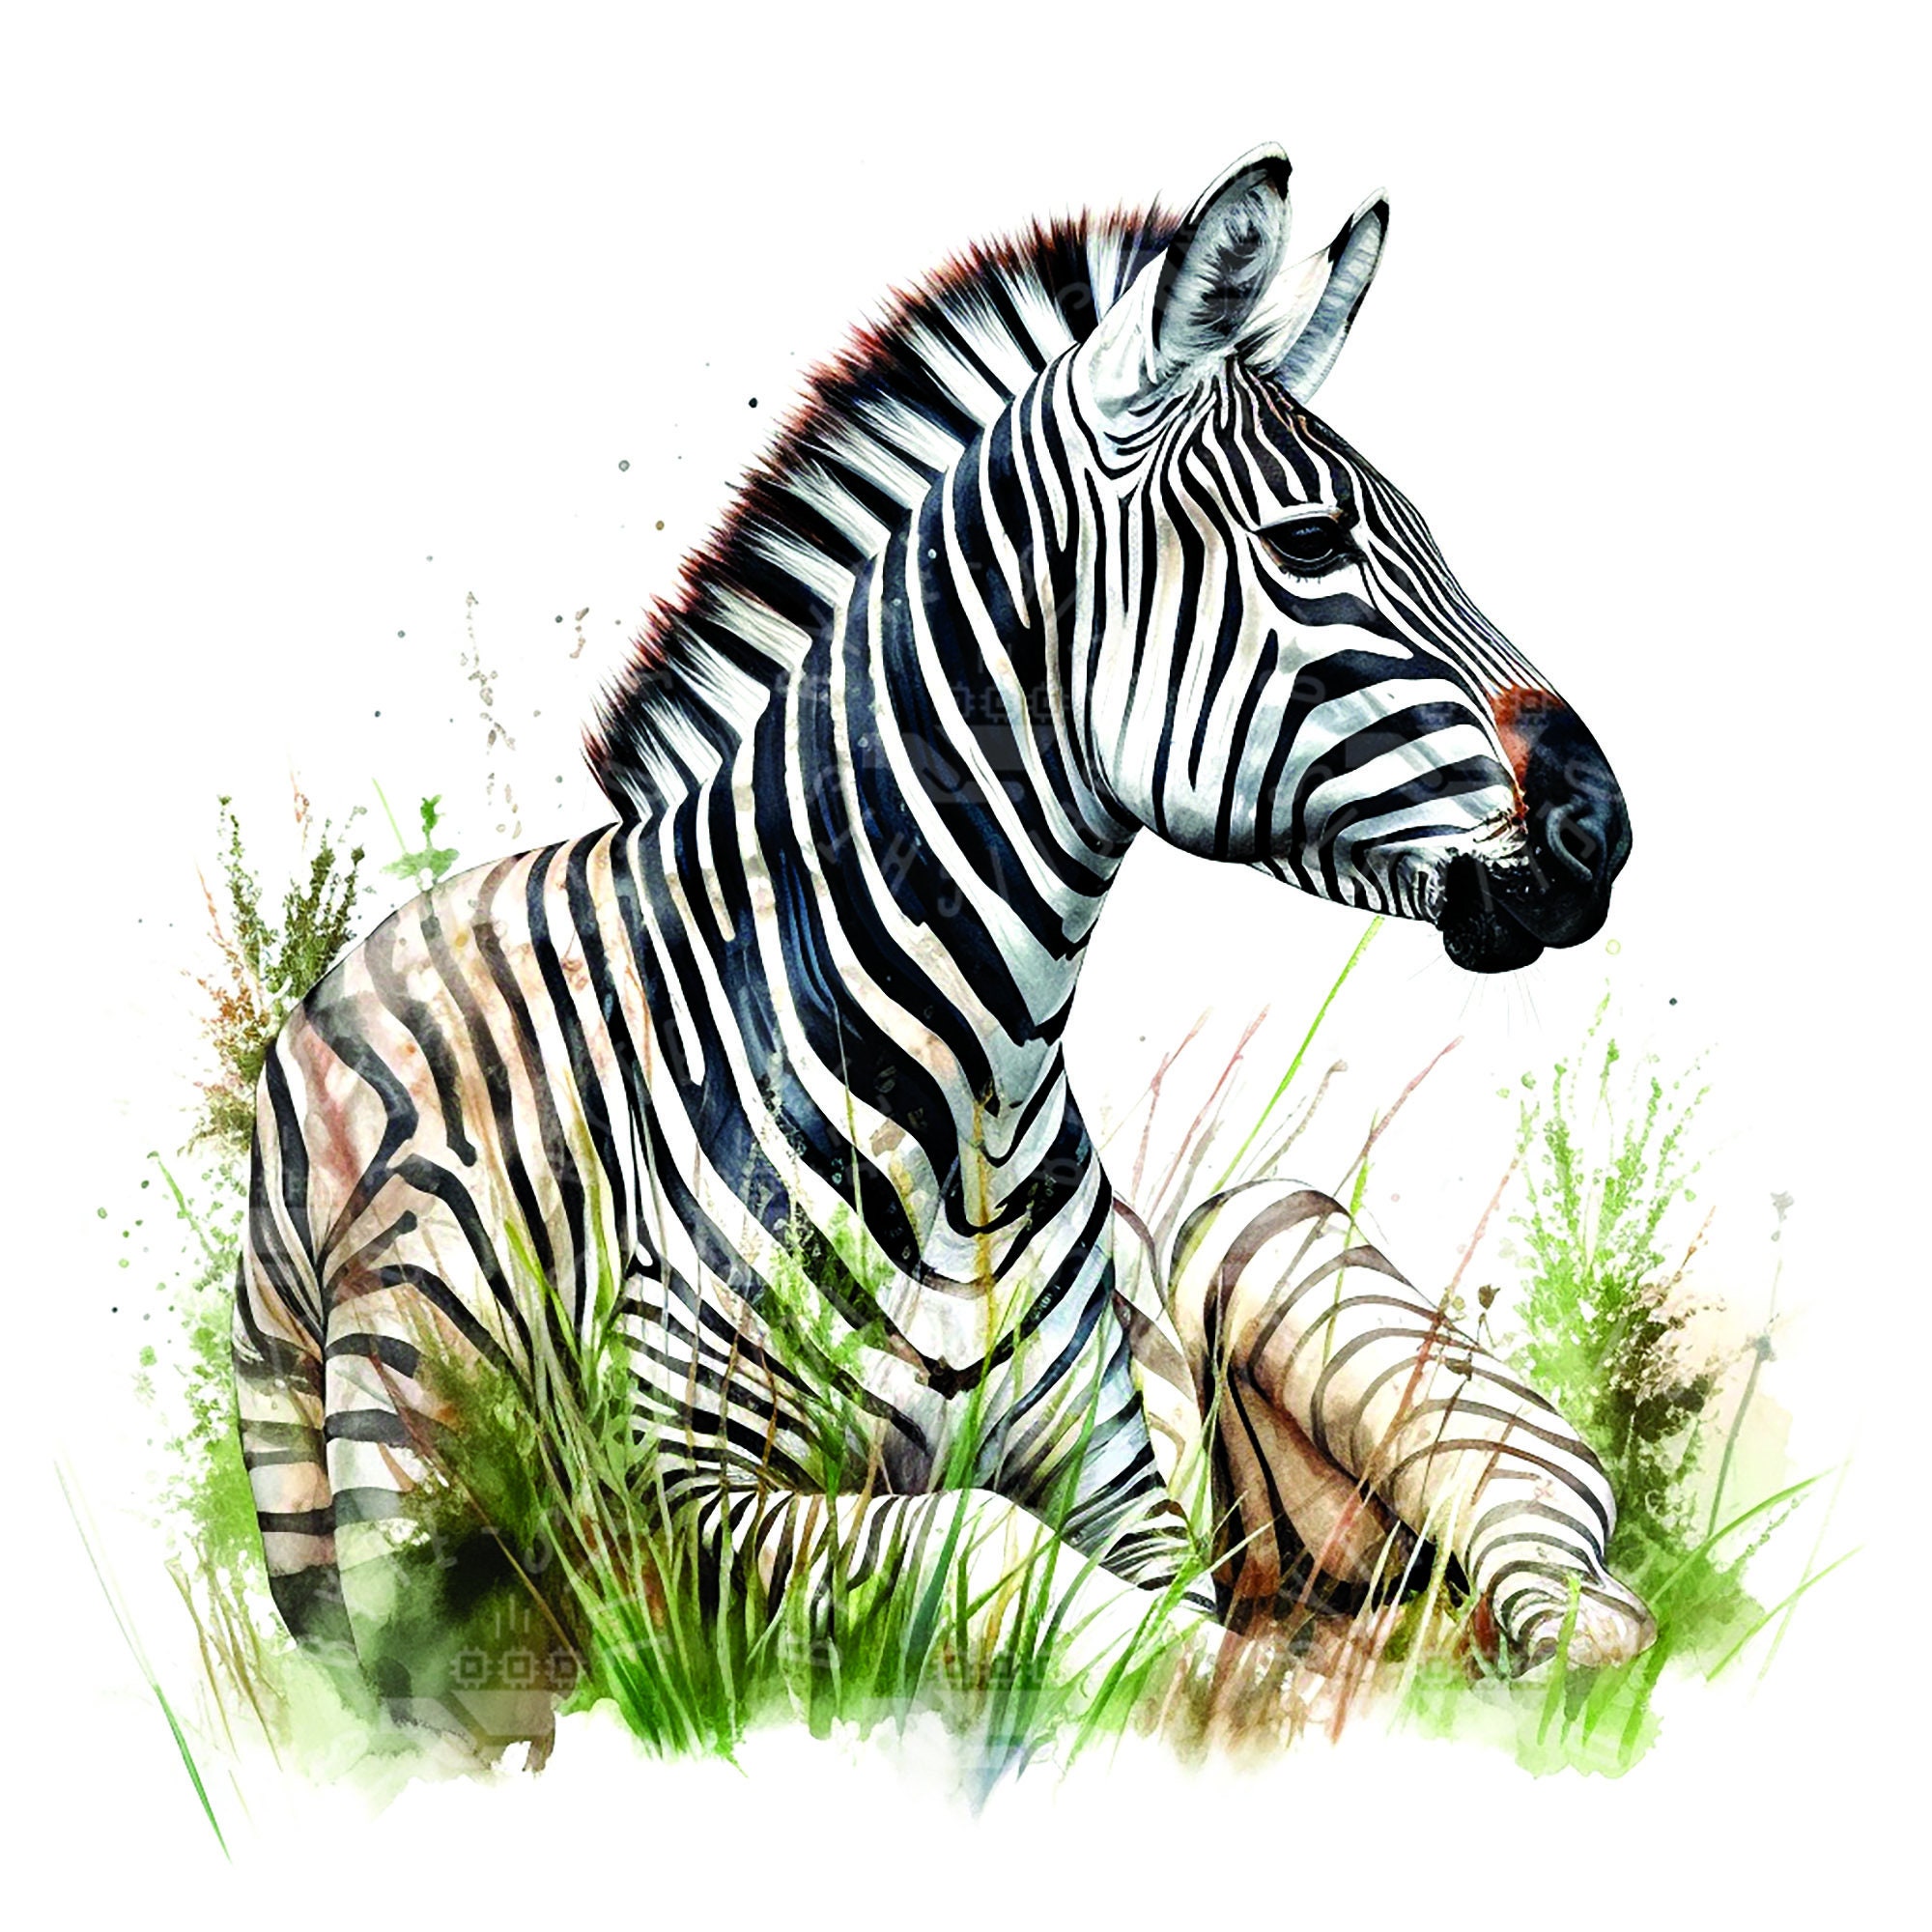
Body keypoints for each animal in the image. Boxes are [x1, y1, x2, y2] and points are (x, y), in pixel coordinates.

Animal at [235, 145, 1650, 1748]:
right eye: (1309, 544)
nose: (1605, 826)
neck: (965, 1074)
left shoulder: (1129, 1487)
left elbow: (1120, 1612)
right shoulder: (658, 1503)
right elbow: (1005, 1565)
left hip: (1270, 1246)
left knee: (1563, 1554)